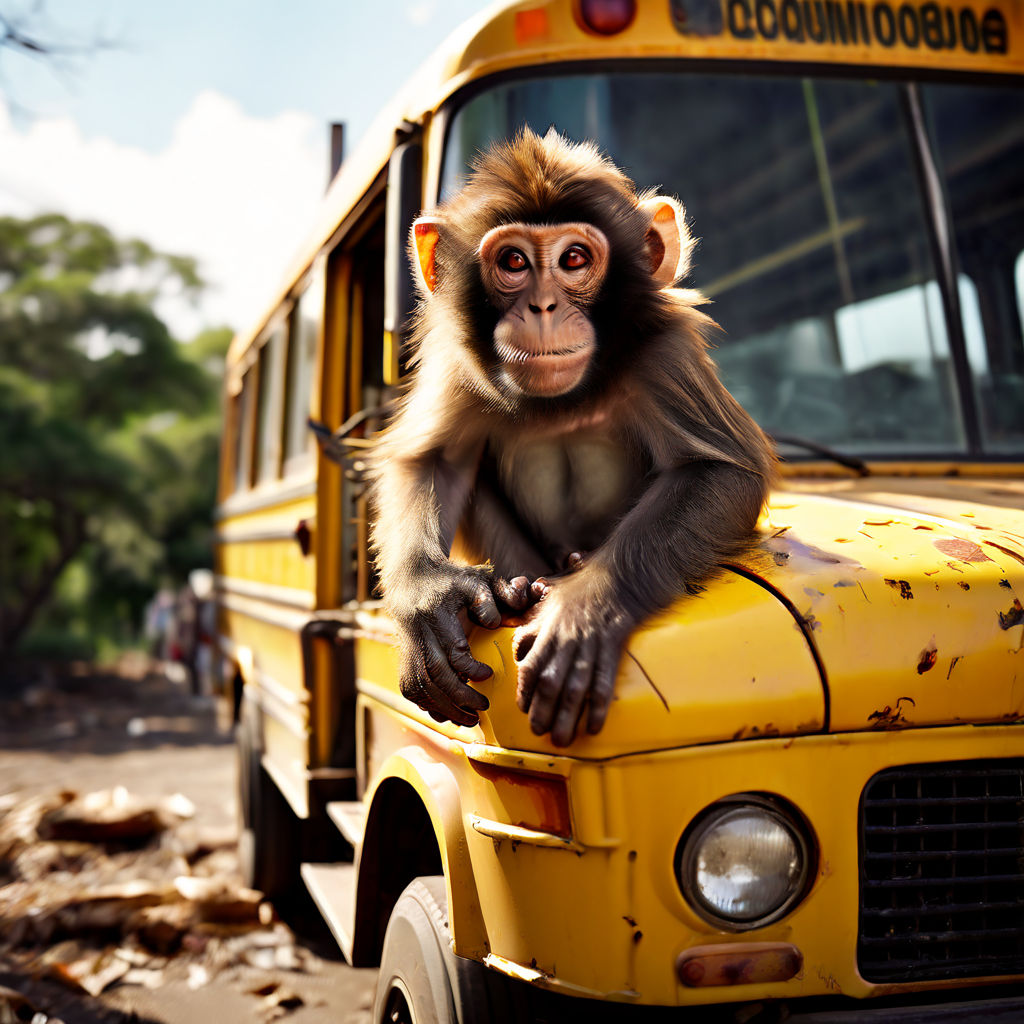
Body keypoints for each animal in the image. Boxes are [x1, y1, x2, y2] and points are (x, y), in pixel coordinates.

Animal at [370, 128, 776, 747]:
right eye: (513, 261)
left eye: (574, 259)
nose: (543, 306)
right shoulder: (459, 363)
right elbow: (431, 460)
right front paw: (428, 596)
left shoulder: (665, 353)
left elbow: (720, 470)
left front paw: (583, 608)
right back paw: (518, 591)